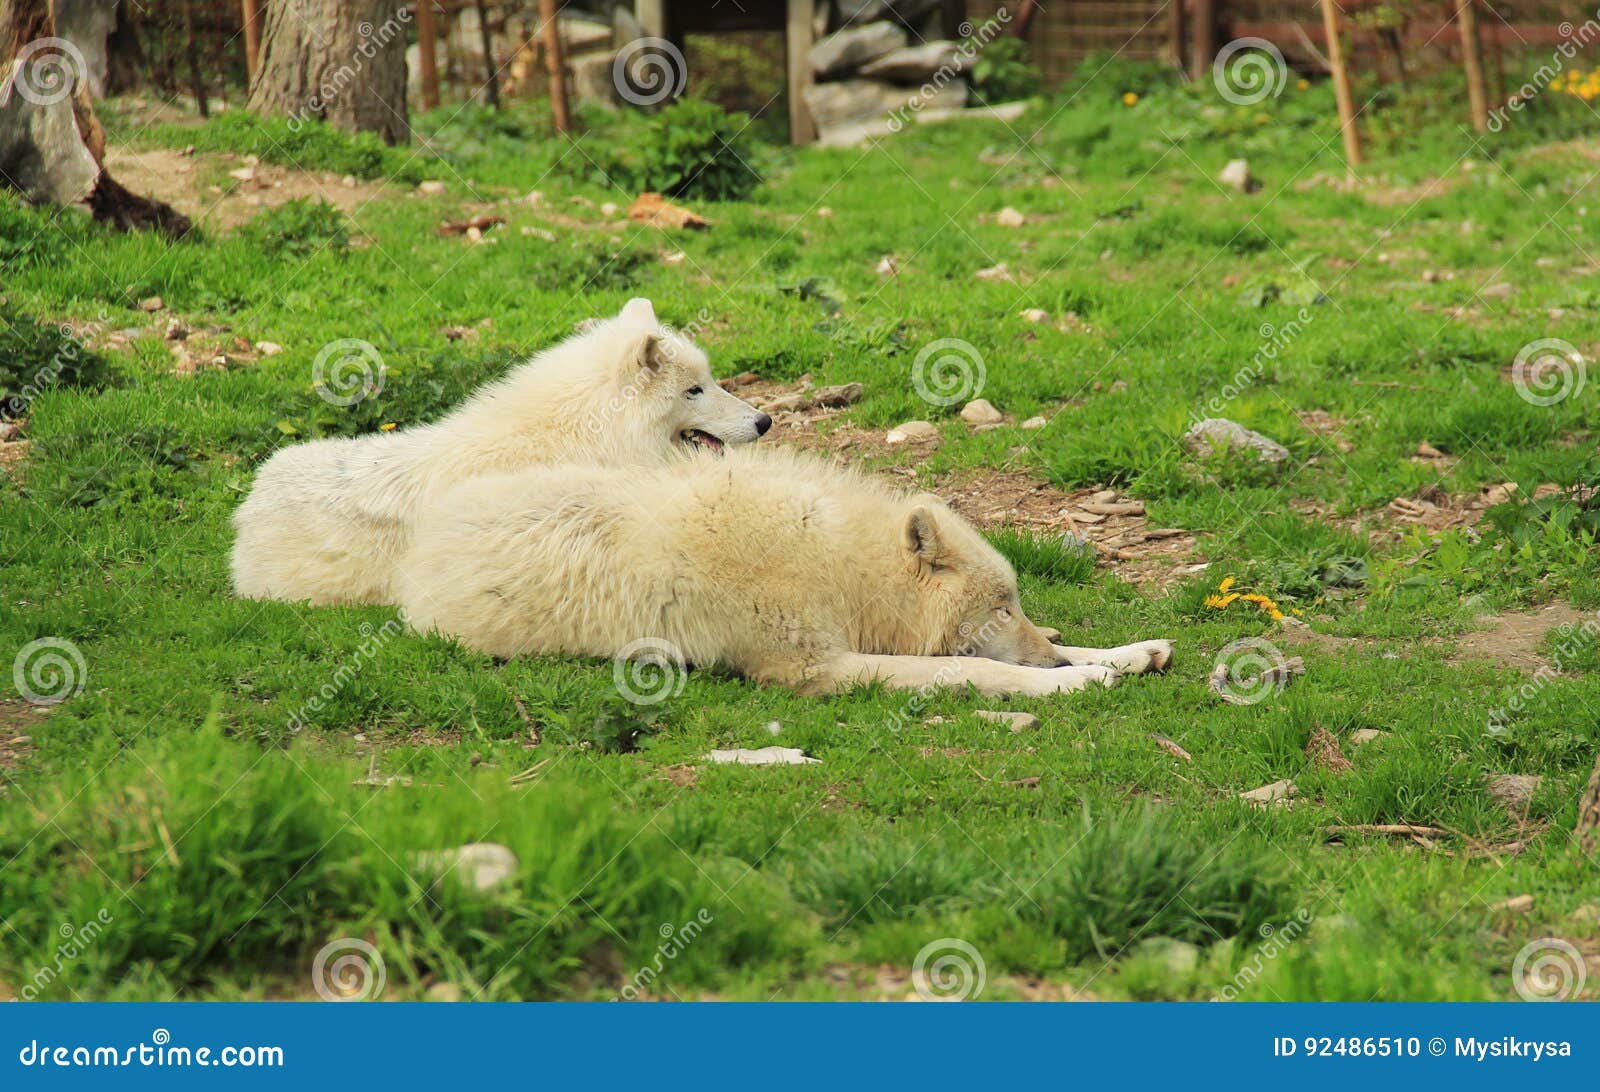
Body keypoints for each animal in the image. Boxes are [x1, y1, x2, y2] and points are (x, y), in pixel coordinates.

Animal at [396, 449, 1172, 697]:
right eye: (1003, 606)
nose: (1048, 658)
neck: (838, 567)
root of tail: (424, 536)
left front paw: (1125, 655)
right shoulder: (811, 668)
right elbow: (977, 669)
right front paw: (1076, 681)